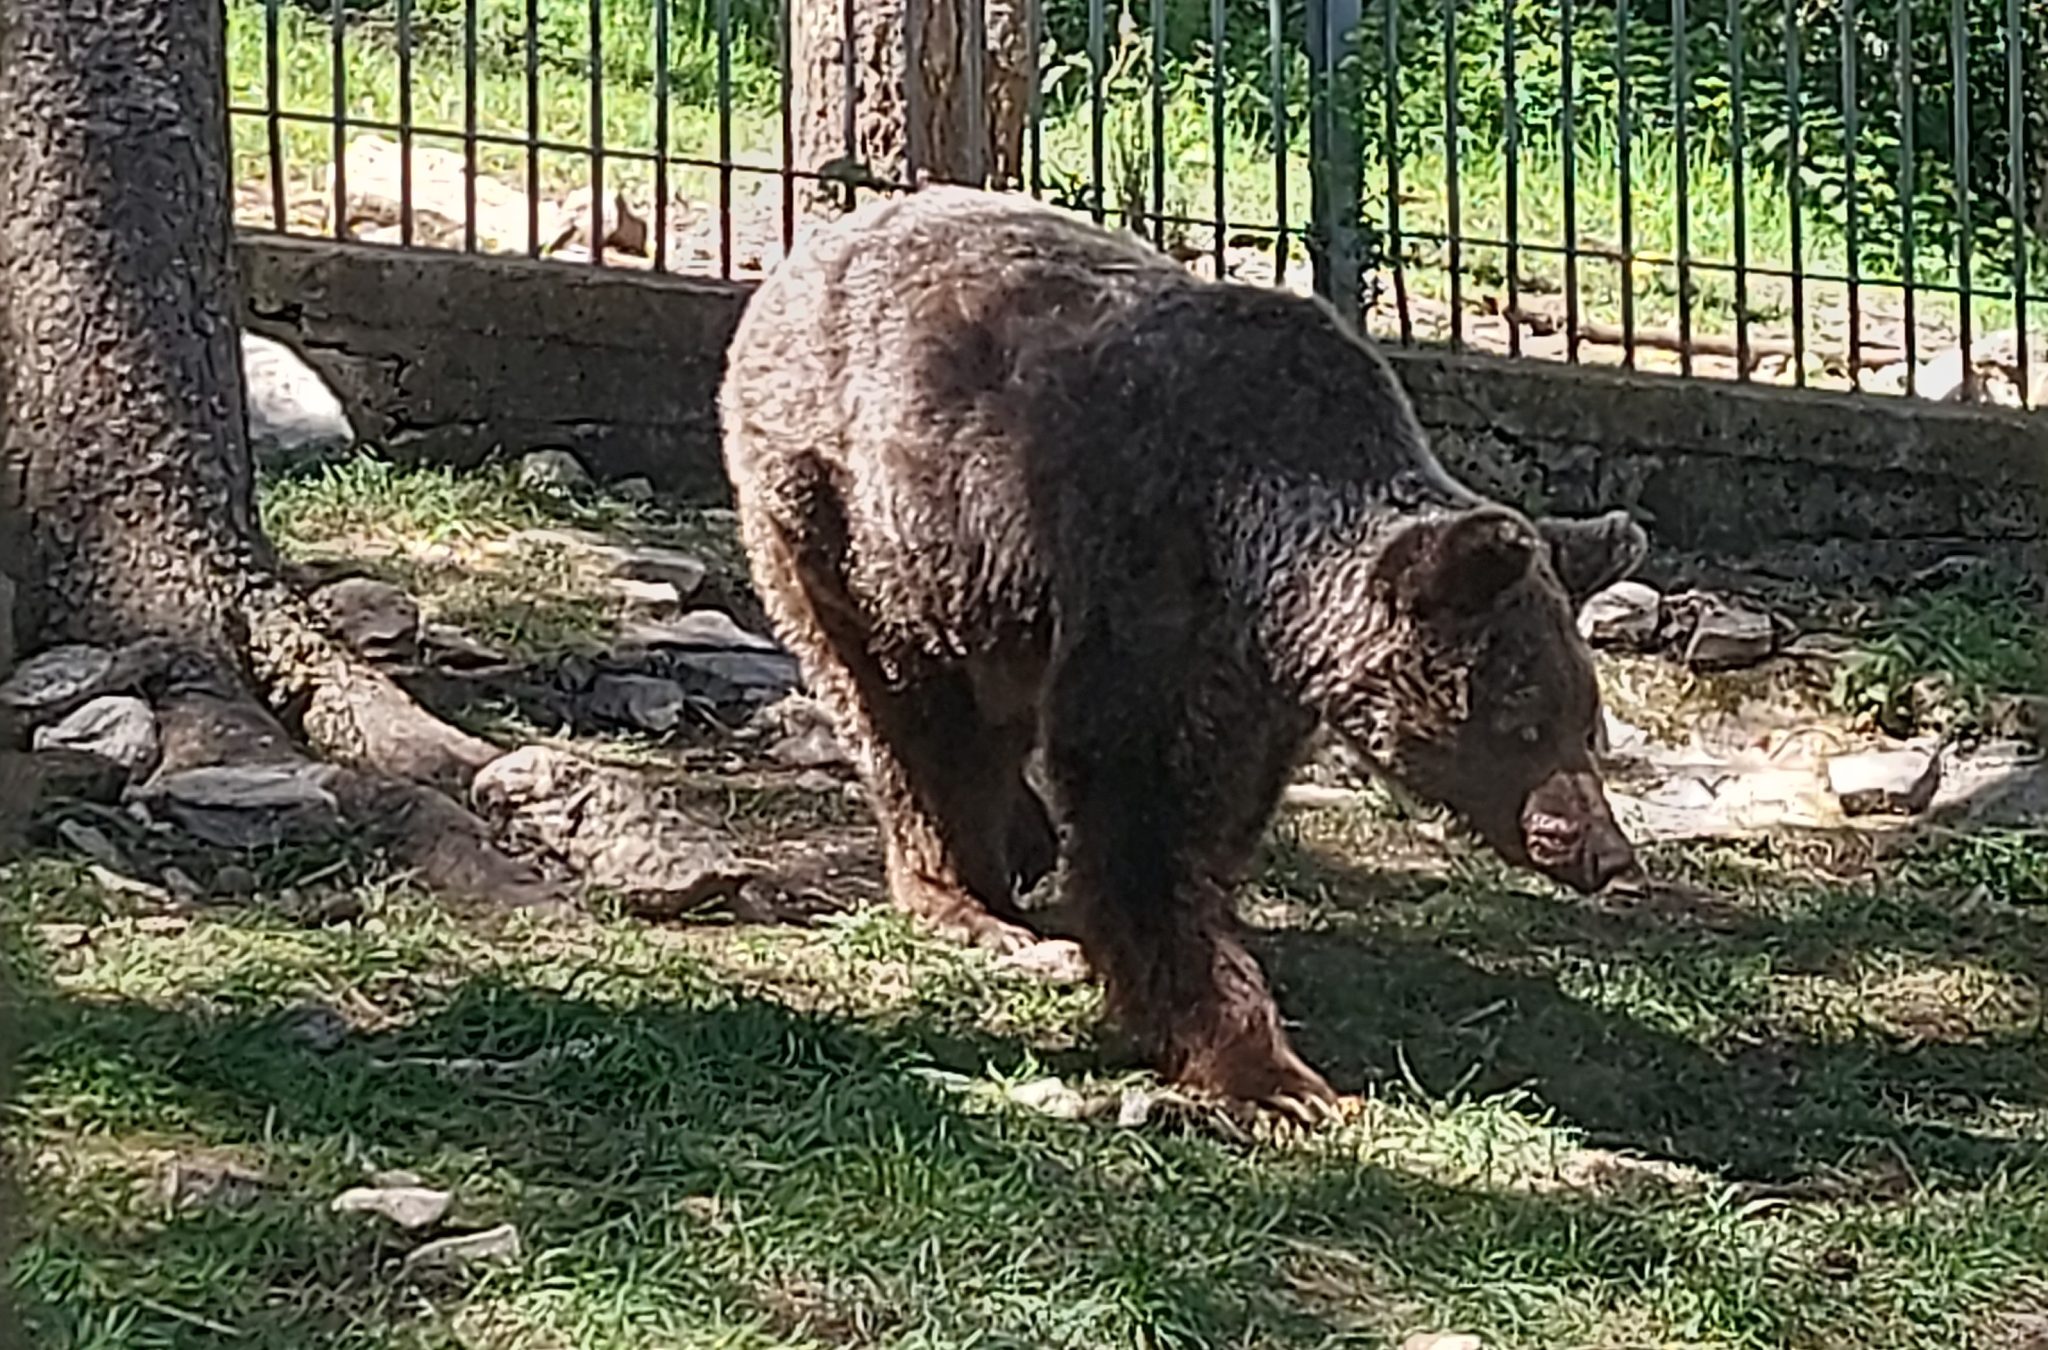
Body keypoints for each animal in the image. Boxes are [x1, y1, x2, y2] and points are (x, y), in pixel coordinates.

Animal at [719, 186, 1646, 1118]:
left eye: (1587, 727)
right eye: (1524, 724)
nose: (1602, 850)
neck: (1264, 567)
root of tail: (804, 255)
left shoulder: (1258, 684)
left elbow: (1215, 815)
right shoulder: (1146, 571)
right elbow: (1140, 817)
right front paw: (1271, 1076)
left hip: (980, 591)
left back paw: (1020, 838)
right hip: (855, 527)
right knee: (909, 718)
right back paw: (971, 899)